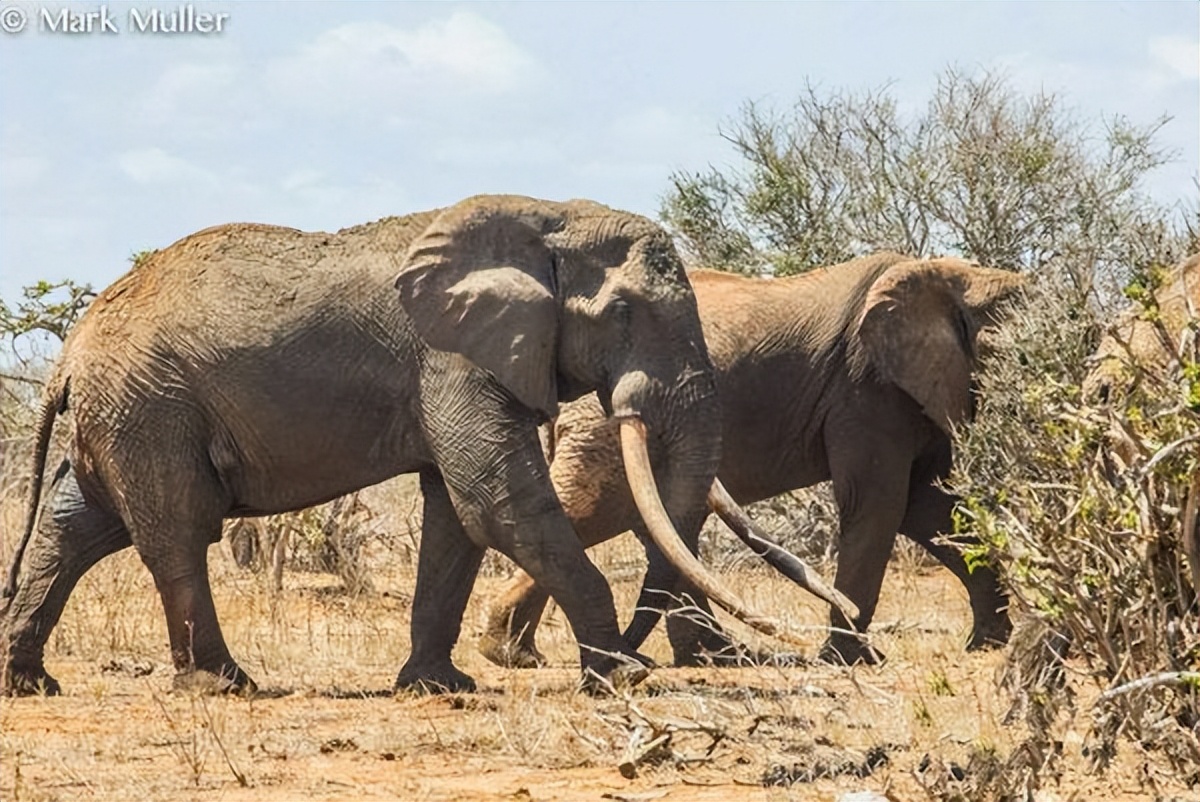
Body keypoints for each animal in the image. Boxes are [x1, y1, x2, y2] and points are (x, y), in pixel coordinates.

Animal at [0, 194, 791, 696]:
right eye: (624, 312)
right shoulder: (450, 358)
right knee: (177, 529)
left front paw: (439, 686)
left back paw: (30, 682)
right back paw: (224, 685)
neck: (545, 216)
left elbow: (456, 518)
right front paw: (626, 677)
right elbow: (495, 500)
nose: (641, 650)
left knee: (76, 528)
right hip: (150, 409)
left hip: (125, 412)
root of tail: (69, 355)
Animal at [479, 252, 1026, 668]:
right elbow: (881, 503)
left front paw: (987, 644)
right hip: (609, 428)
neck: (954, 272)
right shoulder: (866, 388)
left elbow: (928, 508)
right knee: (590, 512)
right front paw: (851, 661)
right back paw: (508, 651)